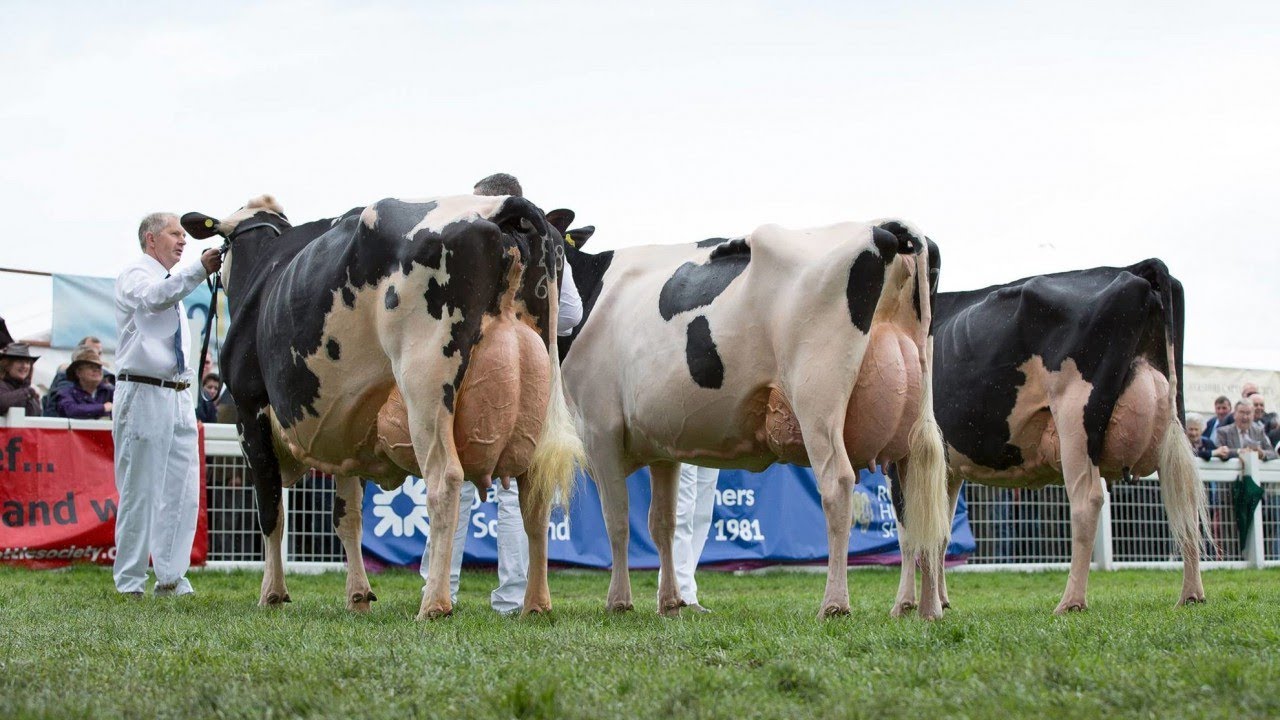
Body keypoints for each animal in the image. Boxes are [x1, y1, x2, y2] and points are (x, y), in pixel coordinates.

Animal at [180, 194, 583, 619]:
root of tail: (503, 206)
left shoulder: (248, 407)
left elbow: (271, 509)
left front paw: (272, 593)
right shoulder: (345, 433)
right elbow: (347, 517)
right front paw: (358, 595)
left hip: (425, 385)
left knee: (445, 480)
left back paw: (434, 603)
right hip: (537, 395)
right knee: (535, 493)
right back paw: (535, 603)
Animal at [550, 210, 952, 619]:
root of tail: (884, 226)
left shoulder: (600, 428)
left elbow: (617, 520)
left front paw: (619, 601)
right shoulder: (663, 446)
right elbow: (662, 524)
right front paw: (670, 602)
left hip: (817, 396)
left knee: (838, 483)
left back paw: (835, 604)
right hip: (913, 424)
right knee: (921, 501)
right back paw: (928, 608)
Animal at [891, 258, 1208, 615]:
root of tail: (1138, 268)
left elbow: (910, 532)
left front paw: (904, 604)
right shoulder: (948, 467)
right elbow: (941, 531)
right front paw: (941, 601)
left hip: (1075, 416)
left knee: (1088, 501)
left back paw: (1071, 601)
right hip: (1174, 415)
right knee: (1184, 496)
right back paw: (1191, 594)